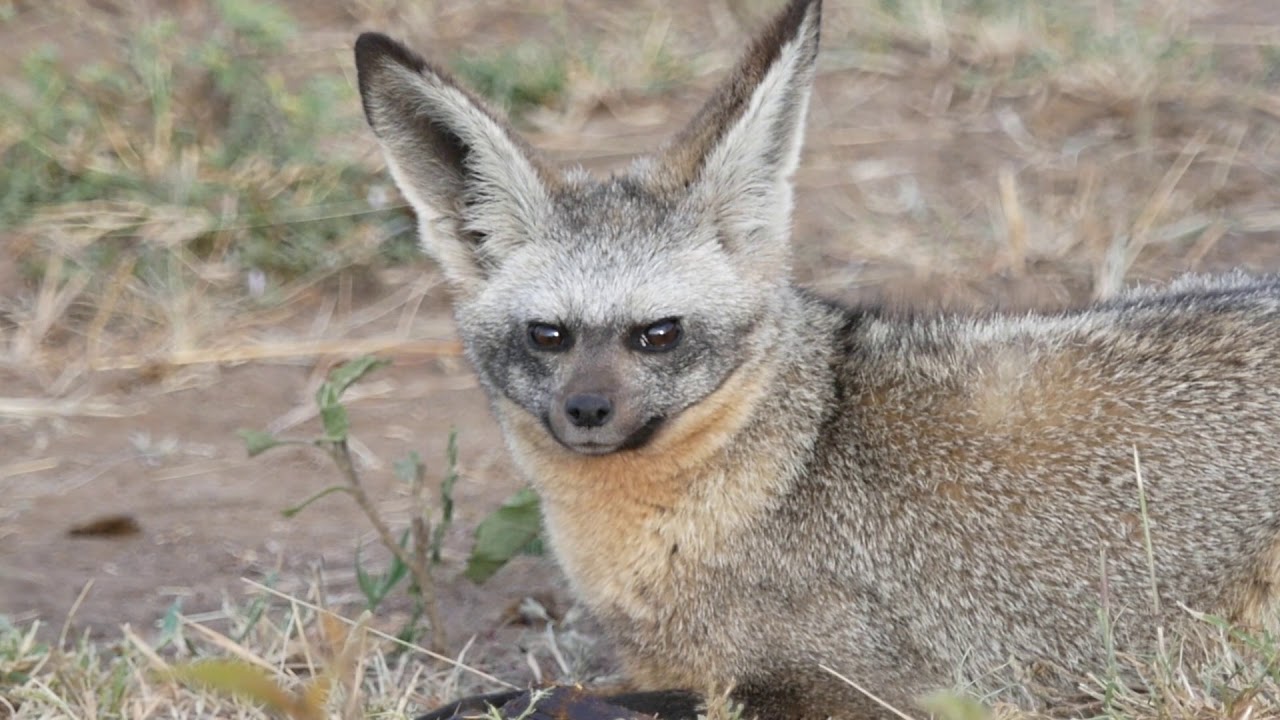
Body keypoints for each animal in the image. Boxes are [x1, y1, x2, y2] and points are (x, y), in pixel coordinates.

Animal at [353, 0, 1280, 717]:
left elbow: (571, 700)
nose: (586, 413)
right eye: (549, 335)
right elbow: (546, 691)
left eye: (658, 333)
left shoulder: (874, 690)